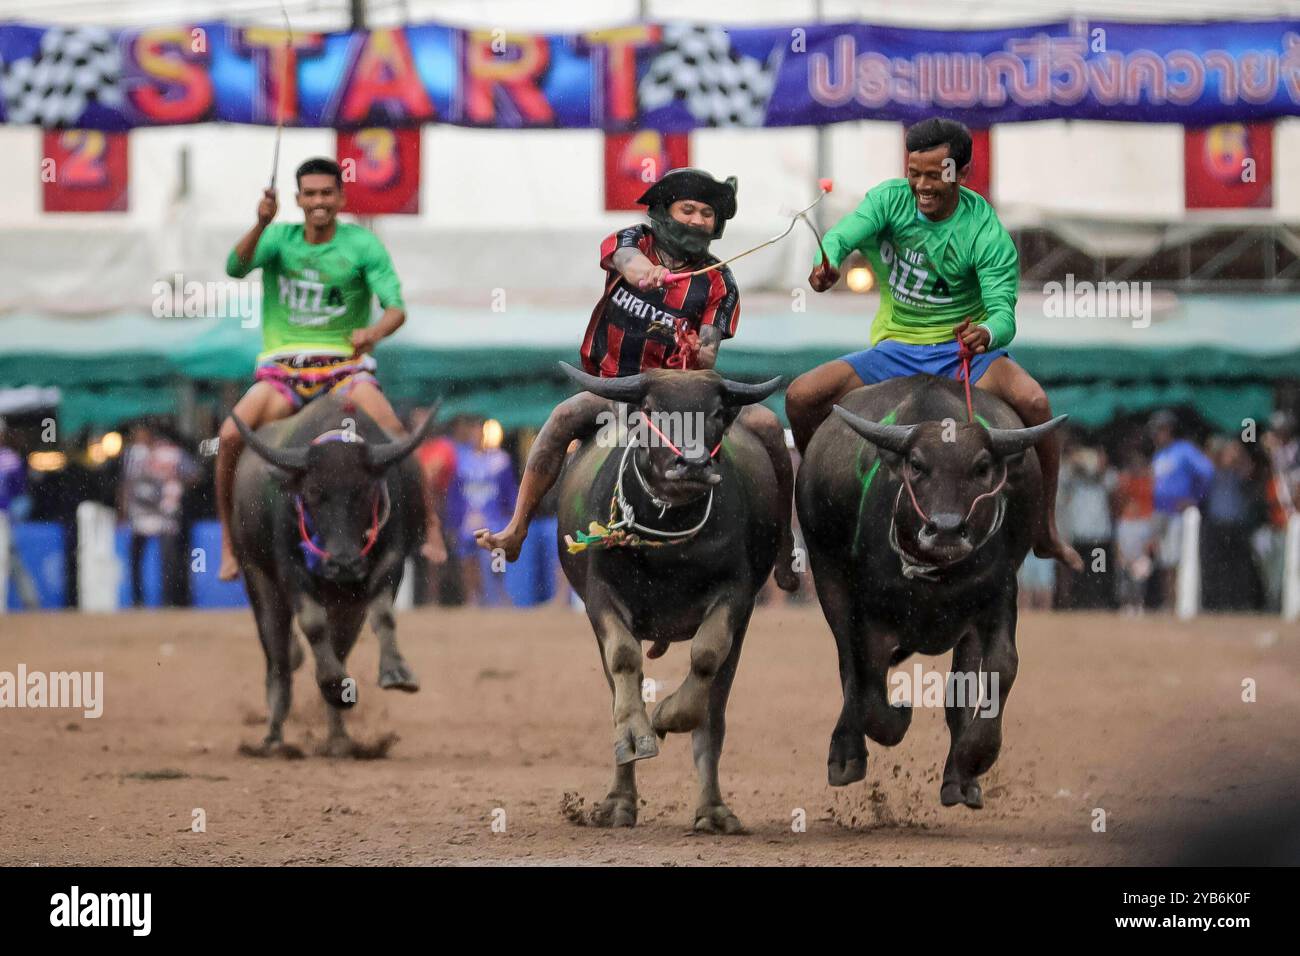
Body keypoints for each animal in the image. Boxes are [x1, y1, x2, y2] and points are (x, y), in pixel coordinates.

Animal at [229, 393, 437, 757]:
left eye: (365, 490)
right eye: (313, 492)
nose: (343, 565)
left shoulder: (389, 561)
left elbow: (383, 616)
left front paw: (394, 672)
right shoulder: (290, 569)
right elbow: (312, 624)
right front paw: (332, 684)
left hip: (345, 603)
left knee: (338, 648)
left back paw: (339, 738)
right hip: (257, 578)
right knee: (278, 658)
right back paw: (273, 737)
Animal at [554, 363, 782, 832]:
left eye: (716, 412)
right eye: (651, 409)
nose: (692, 463)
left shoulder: (737, 595)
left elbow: (706, 659)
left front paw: (664, 717)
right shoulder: (599, 596)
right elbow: (624, 660)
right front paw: (637, 735)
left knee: (713, 714)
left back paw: (712, 810)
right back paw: (619, 799)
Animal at [795, 374, 1066, 808]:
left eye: (982, 467)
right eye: (917, 465)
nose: (947, 529)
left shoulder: (996, 598)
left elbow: (1001, 667)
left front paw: (975, 756)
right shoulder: (871, 614)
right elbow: (870, 688)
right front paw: (899, 715)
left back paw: (959, 779)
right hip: (827, 578)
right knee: (849, 669)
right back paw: (846, 756)